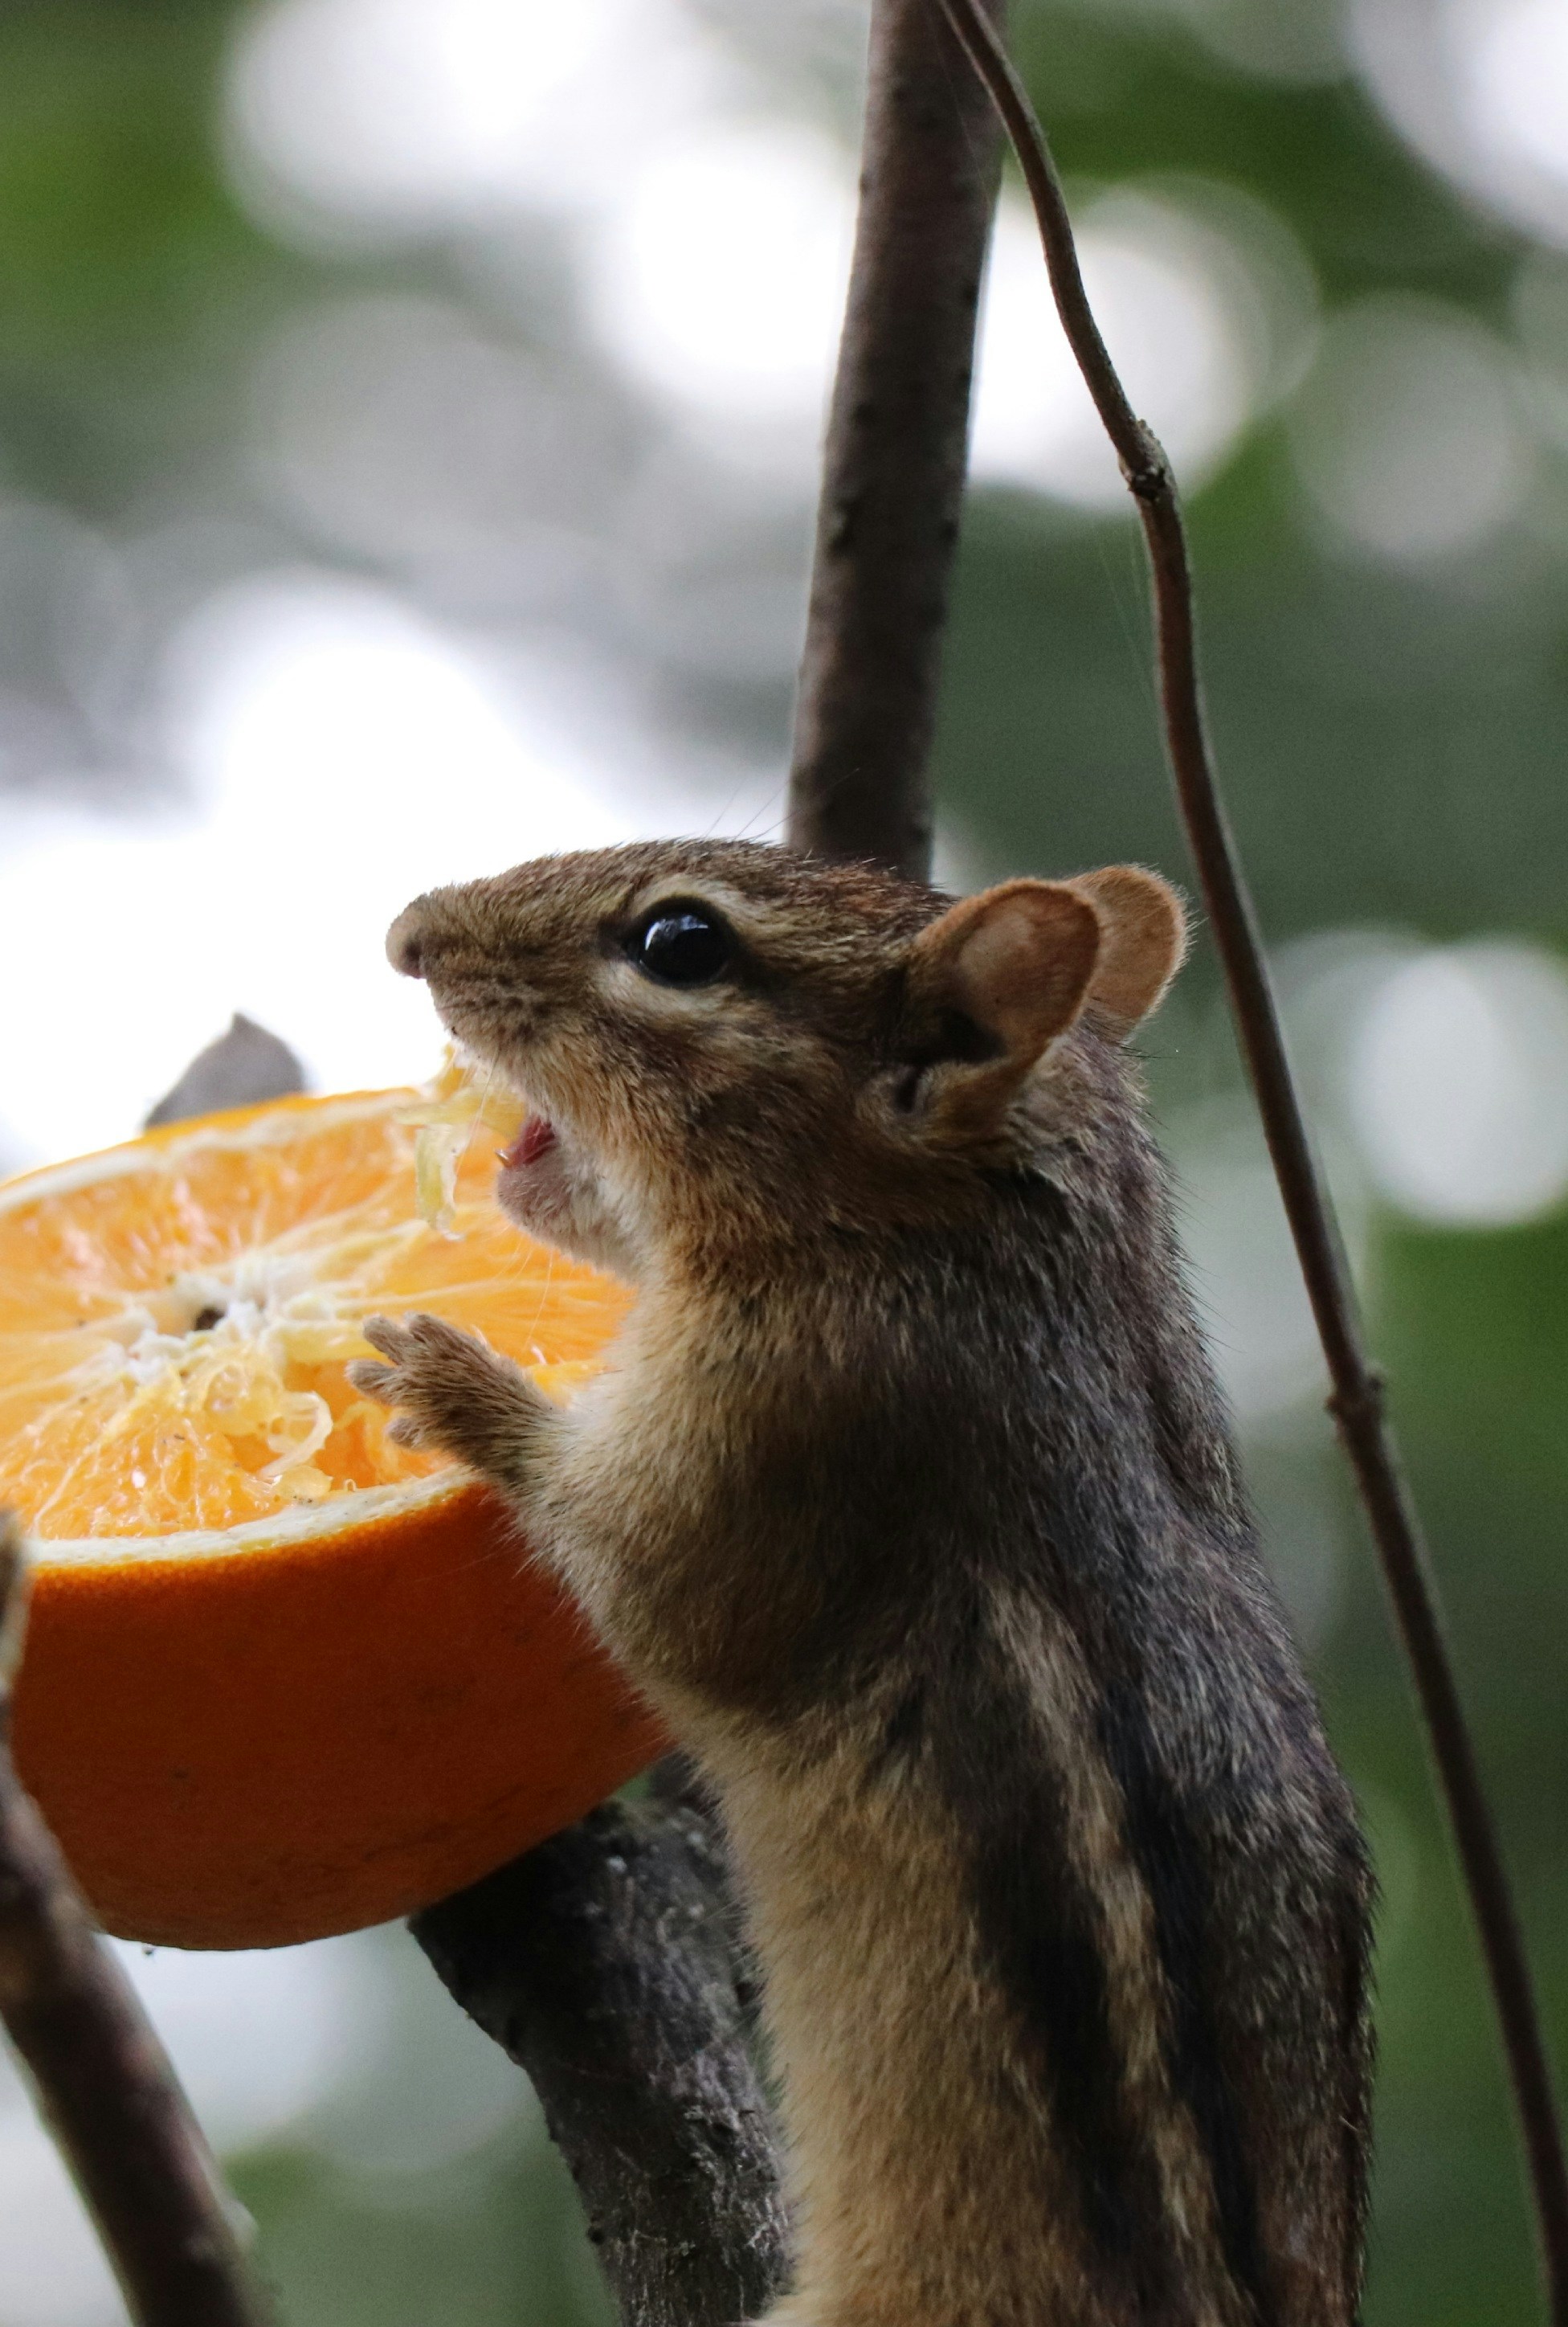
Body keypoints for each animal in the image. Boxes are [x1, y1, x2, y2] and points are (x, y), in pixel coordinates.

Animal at [348, 839, 1373, 2327]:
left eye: (678, 942)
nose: (412, 935)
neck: (971, 1244)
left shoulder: (782, 1421)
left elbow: (641, 1570)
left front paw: (451, 1380)